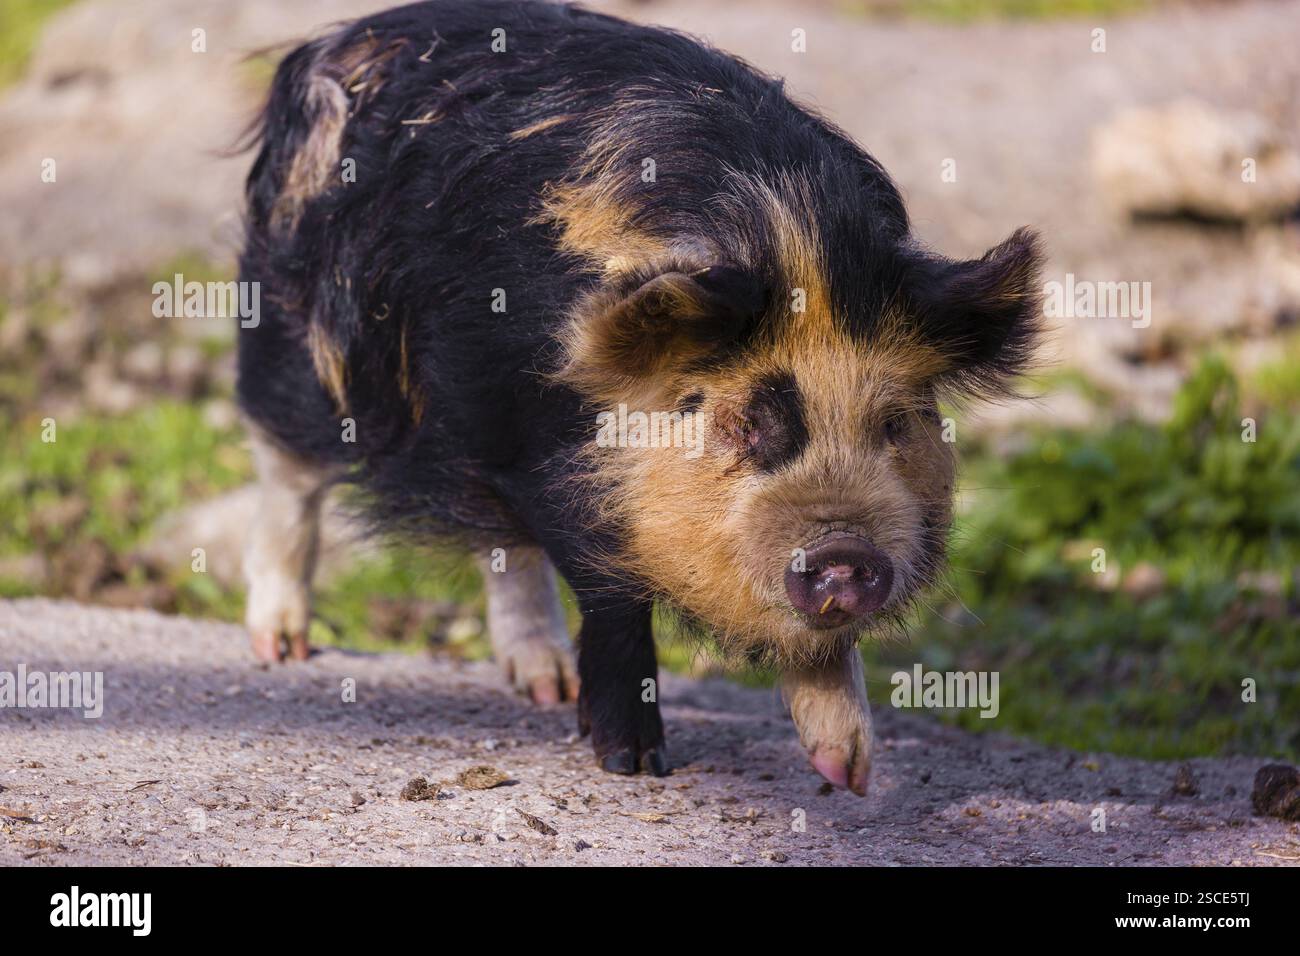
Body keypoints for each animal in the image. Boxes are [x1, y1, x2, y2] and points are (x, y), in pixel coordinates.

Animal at [236, 0, 1043, 794]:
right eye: (742, 422)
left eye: (895, 424)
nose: (843, 549)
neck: (790, 239)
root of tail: (341, 38)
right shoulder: (556, 468)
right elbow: (614, 604)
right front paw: (635, 764)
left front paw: (849, 775)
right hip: (297, 342)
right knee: (286, 468)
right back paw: (281, 648)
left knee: (502, 547)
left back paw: (544, 687)